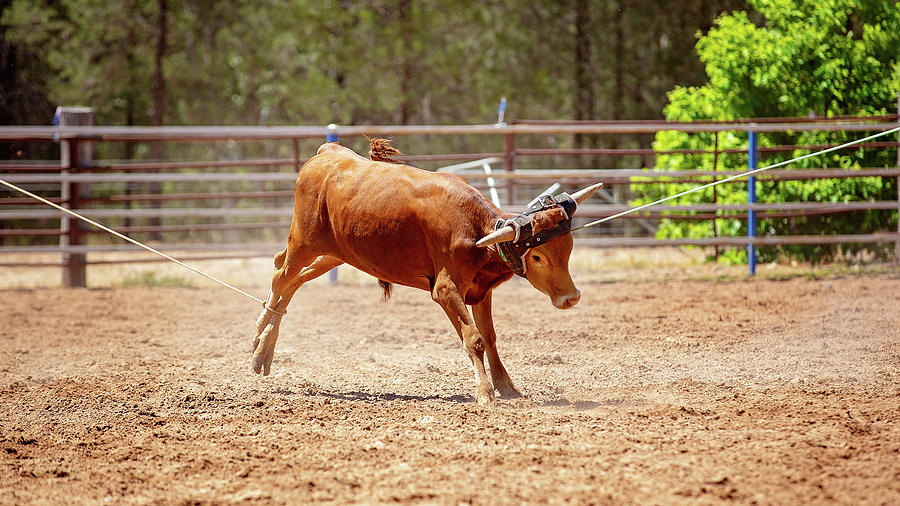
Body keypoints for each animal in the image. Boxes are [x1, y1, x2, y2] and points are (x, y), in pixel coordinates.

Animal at [251, 139, 603, 404]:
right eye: (539, 256)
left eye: (568, 247)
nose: (571, 297)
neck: (475, 228)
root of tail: (328, 153)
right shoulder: (445, 290)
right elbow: (473, 338)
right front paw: (485, 392)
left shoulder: (480, 292)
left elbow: (489, 338)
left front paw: (507, 387)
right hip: (305, 242)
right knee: (281, 275)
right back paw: (259, 333)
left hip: (337, 254)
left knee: (291, 279)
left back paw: (263, 350)